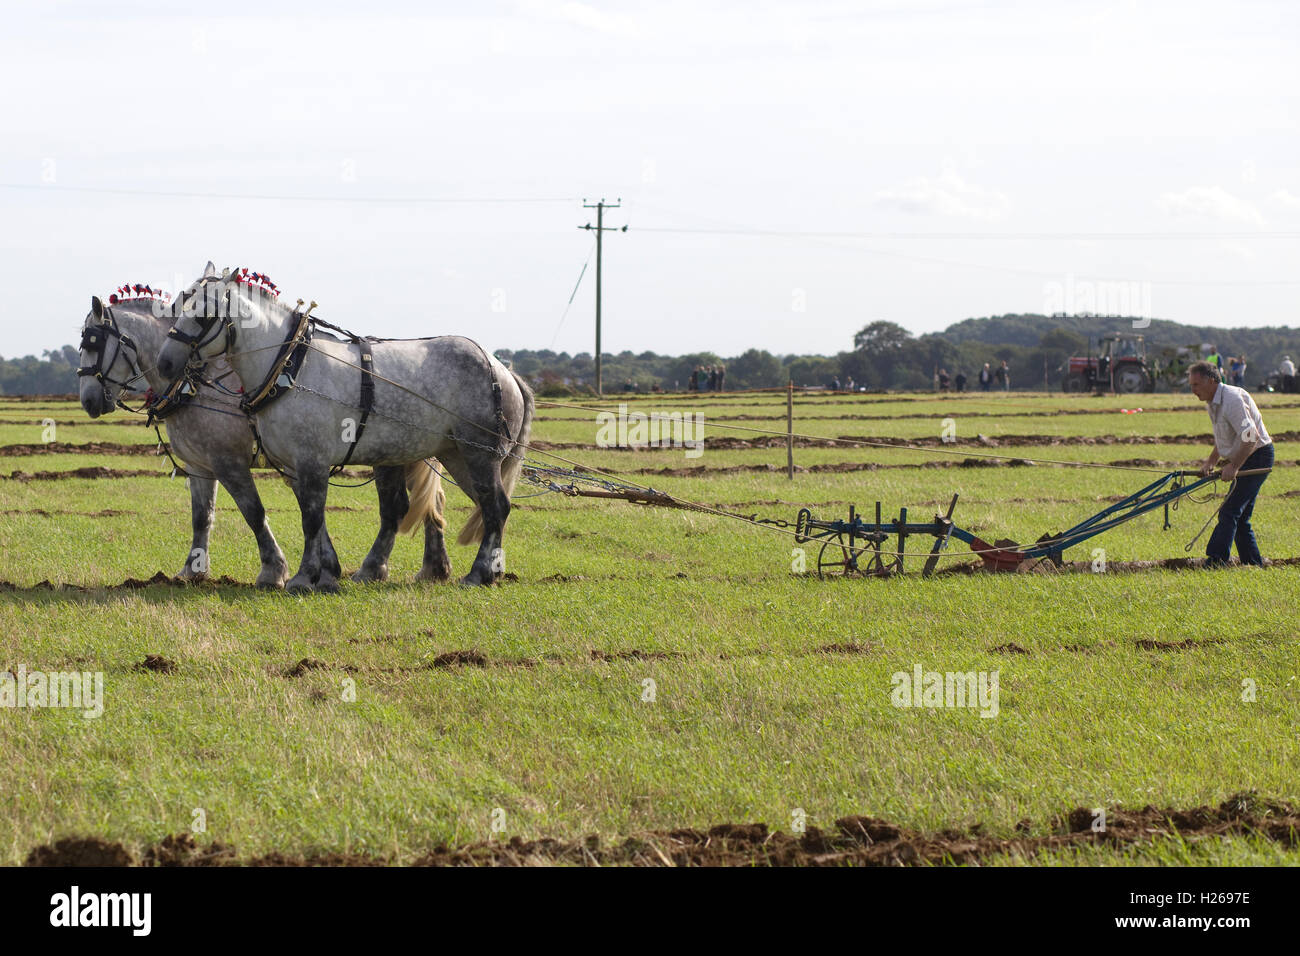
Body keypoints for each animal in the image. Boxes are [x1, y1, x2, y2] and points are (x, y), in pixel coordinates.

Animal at [78, 268, 450, 589]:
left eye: (93, 342)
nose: (88, 400)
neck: (195, 385)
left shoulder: (230, 462)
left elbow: (256, 512)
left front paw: (276, 571)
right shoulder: (201, 466)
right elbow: (203, 517)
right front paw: (193, 570)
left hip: (390, 454)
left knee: (399, 507)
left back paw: (381, 568)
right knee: (430, 502)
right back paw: (434, 567)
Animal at [155, 266, 534, 591]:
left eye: (203, 314)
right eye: (178, 305)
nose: (165, 363)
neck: (290, 365)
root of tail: (502, 369)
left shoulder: (310, 460)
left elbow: (310, 518)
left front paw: (303, 577)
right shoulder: (293, 465)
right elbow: (312, 517)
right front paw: (322, 575)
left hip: (480, 454)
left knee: (495, 506)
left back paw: (479, 572)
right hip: (456, 455)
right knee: (489, 506)